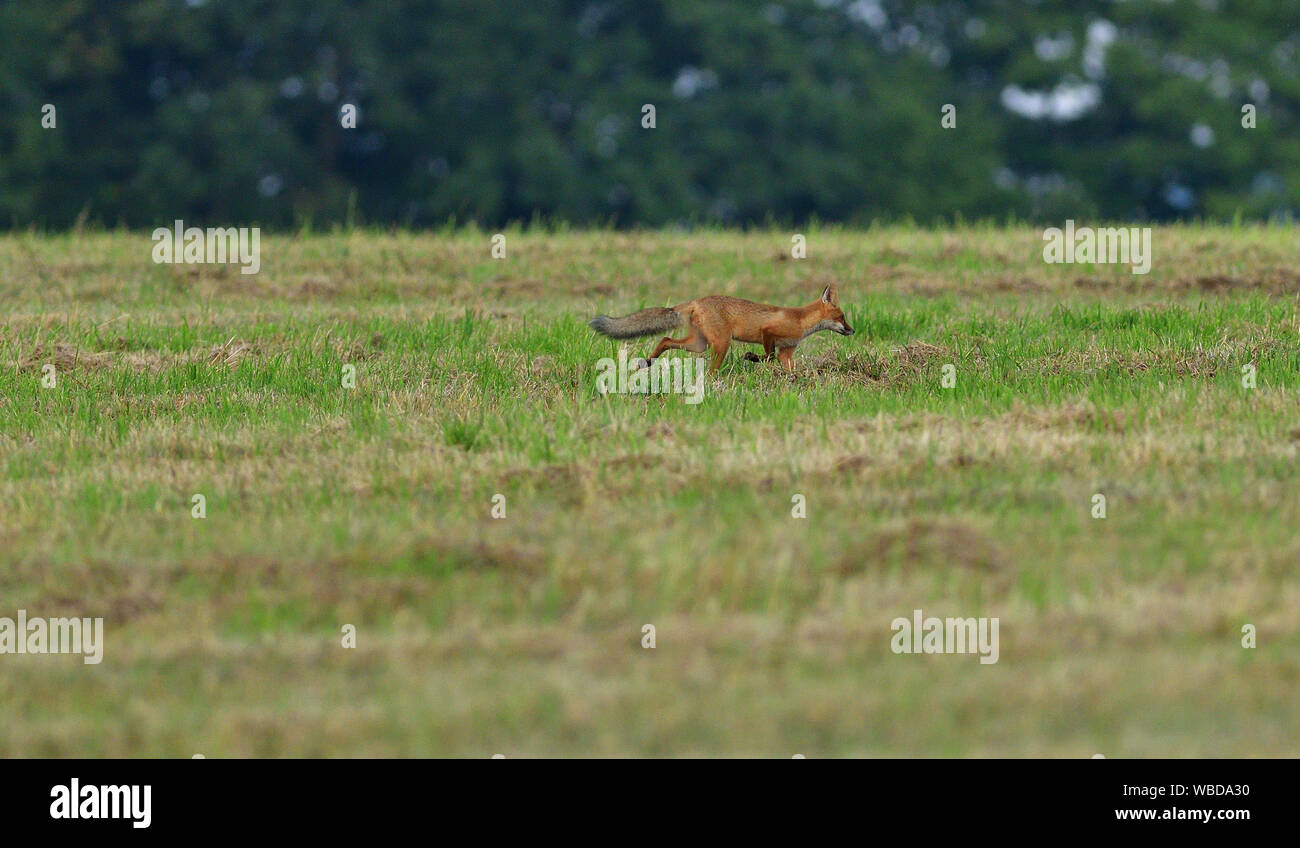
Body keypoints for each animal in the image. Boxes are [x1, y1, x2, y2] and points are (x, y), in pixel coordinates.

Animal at [588, 285, 854, 372]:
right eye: (842, 317)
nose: (852, 331)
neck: (800, 321)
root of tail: (697, 300)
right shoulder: (768, 332)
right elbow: (766, 356)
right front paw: (751, 357)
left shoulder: (787, 352)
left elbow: (786, 367)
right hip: (721, 344)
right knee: (710, 370)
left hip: (699, 344)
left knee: (664, 339)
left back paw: (648, 362)